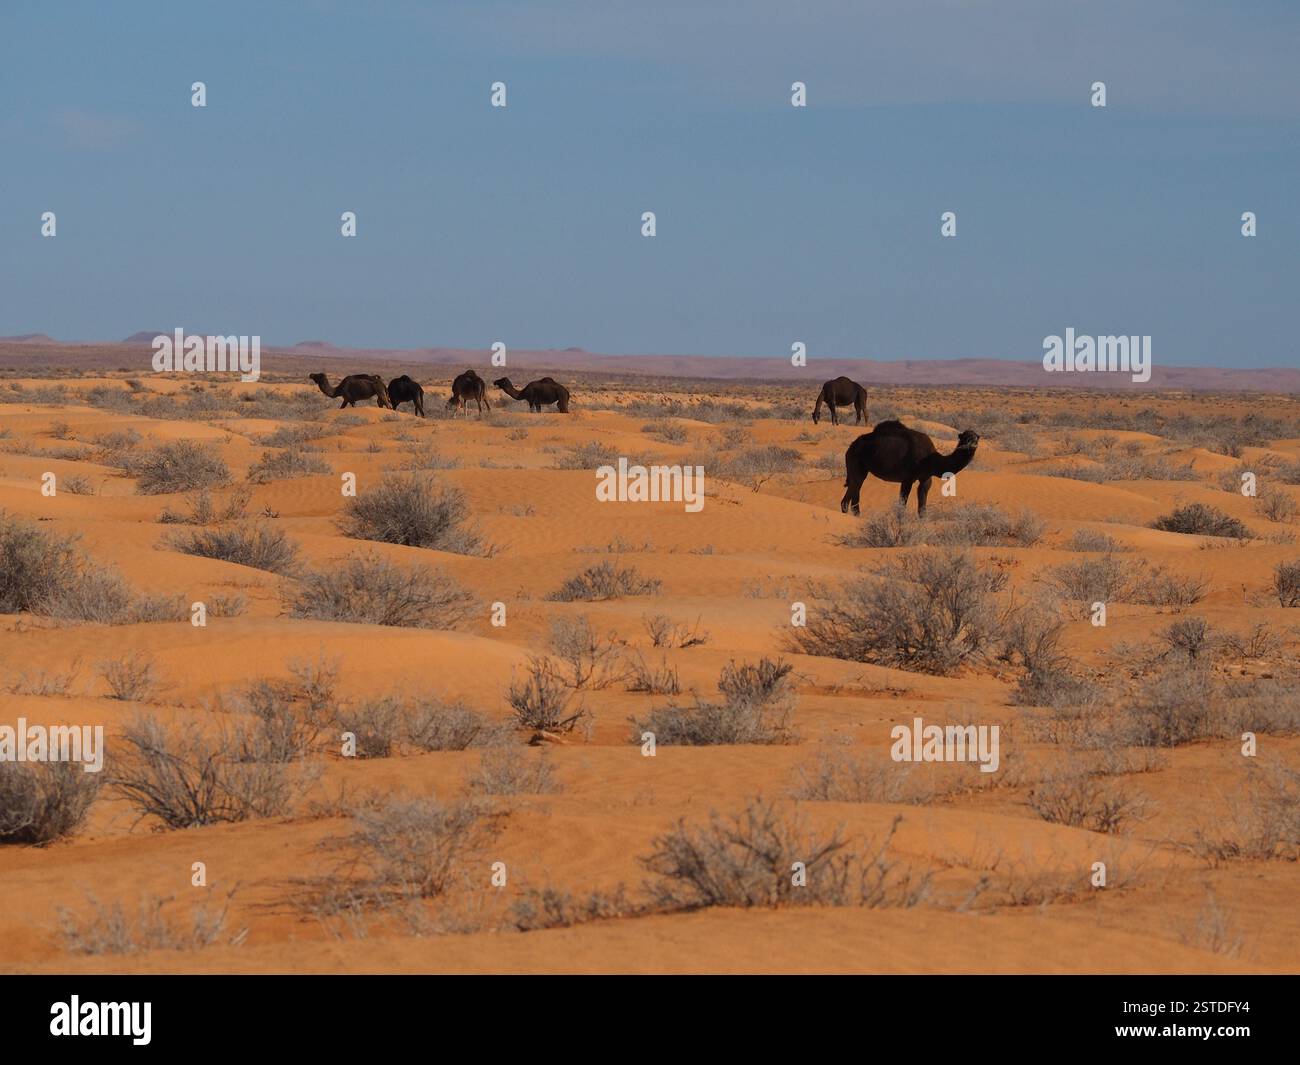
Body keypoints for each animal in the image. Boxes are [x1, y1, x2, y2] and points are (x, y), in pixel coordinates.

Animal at [840, 420, 980, 516]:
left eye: (975, 437)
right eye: (966, 437)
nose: (972, 443)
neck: (930, 458)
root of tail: (851, 446)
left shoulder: (926, 479)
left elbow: (922, 506)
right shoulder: (907, 478)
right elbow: (903, 502)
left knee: (851, 491)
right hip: (856, 462)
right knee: (855, 487)